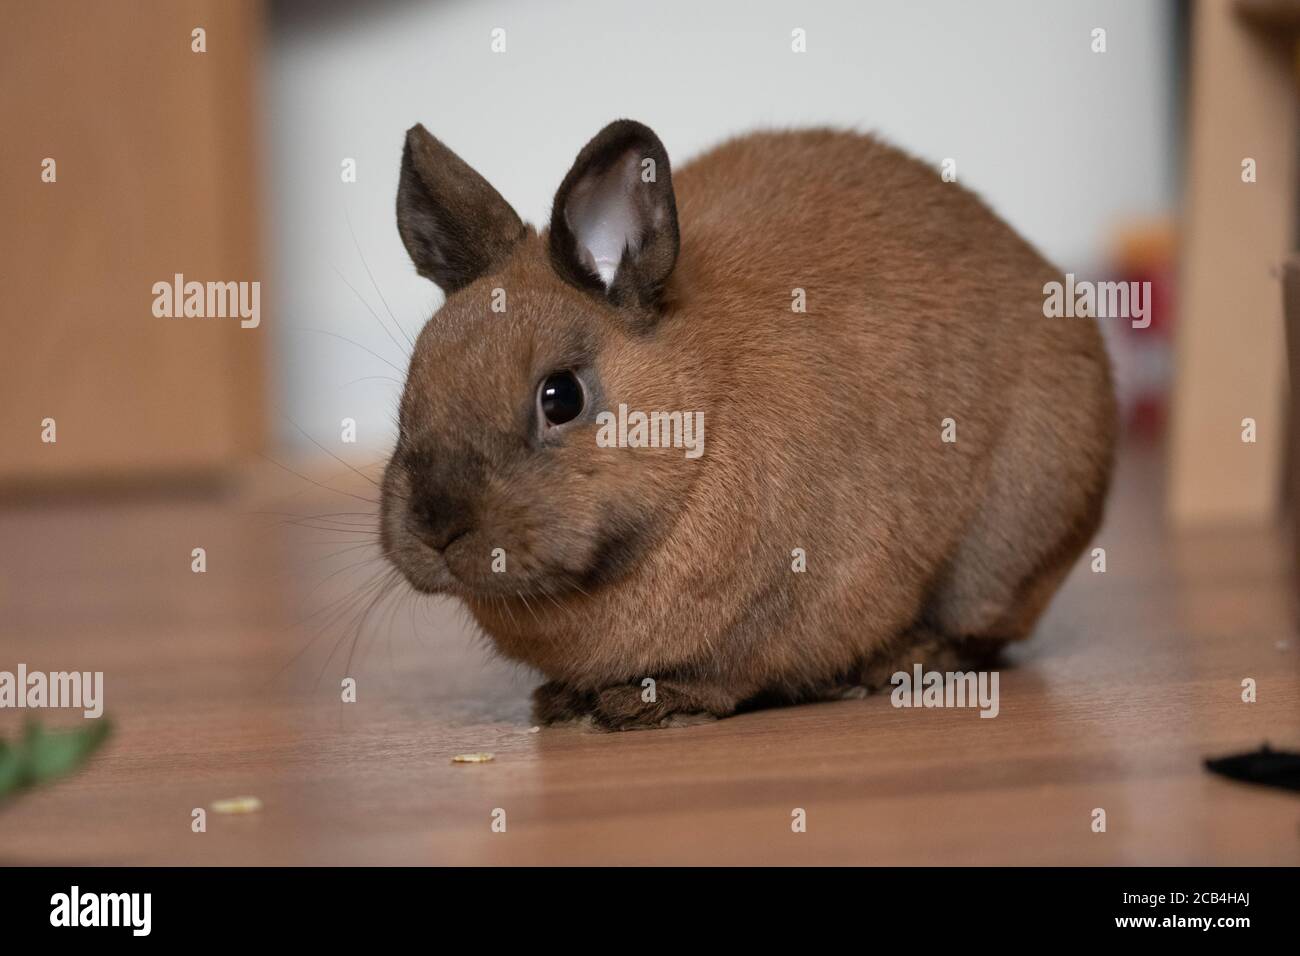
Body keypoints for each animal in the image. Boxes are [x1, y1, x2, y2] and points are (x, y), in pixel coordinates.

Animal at [380, 119, 1116, 731]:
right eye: (411, 386)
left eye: (560, 397)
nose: (436, 527)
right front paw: (563, 702)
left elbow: (736, 674)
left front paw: (652, 704)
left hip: (1003, 553)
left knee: (980, 634)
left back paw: (902, 663)